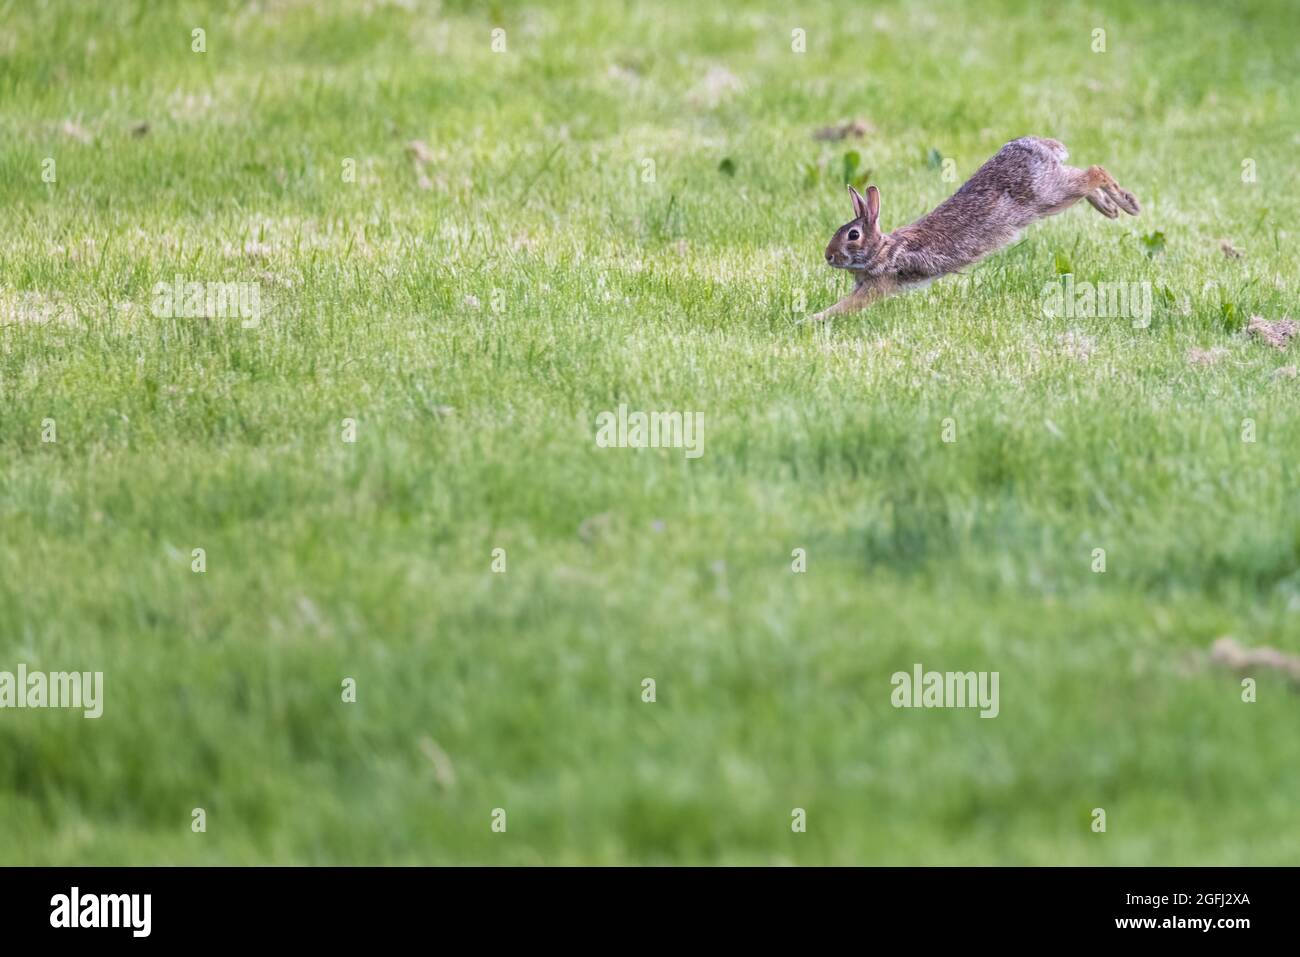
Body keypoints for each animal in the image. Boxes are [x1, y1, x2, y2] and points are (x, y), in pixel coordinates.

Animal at [809, 137, 1139, 322]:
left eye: (853, 235)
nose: (828, 256)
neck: (882, 249)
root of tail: (1042, 146)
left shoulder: (878, 286)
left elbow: (846, 306)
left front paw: (813, 319)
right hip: (1053, 194)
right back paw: (1110, 208)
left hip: (1048, 193)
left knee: (1094, 172)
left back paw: (1129, 203)